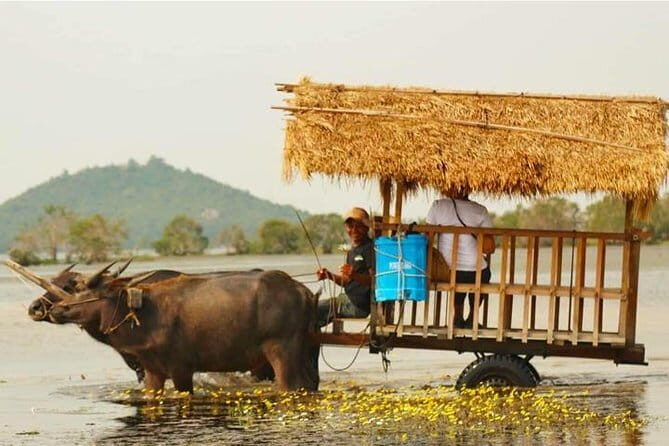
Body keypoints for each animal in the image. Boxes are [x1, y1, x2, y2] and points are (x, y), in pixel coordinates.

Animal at [8, 260, 319, 392]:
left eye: (71, 286)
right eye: (59, 282)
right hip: (306, 353)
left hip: (281, 354)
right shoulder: (150, 370)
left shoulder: (181, 369)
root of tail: (303, 291)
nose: (38, 308)